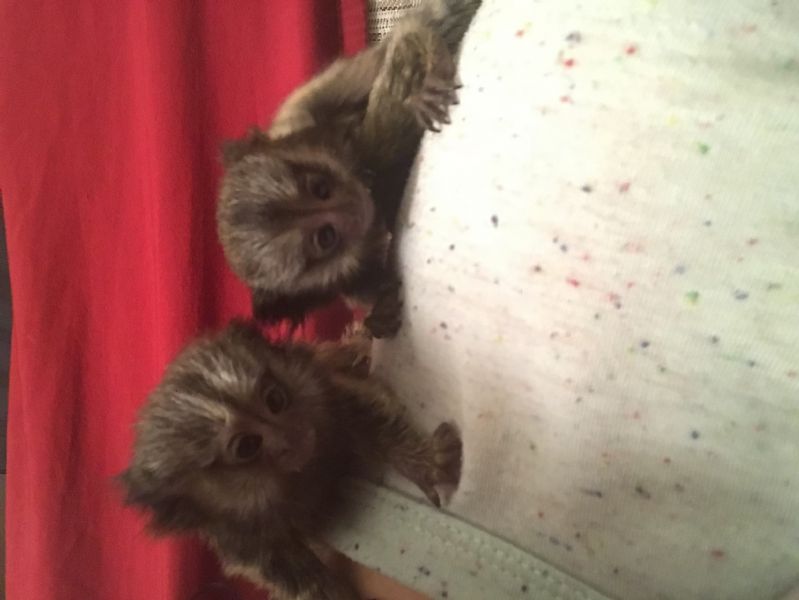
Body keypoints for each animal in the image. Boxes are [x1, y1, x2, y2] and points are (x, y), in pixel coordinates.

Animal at [118, 321, 462, 600]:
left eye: (275, 400)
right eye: (246, 446)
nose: (290, 435)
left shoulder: (324, 397)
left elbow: (363, 414)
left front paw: (422, 462)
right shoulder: (232, 531)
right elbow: (276, 566)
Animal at [217, 0, 482, 338]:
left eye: (320, 188)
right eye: (325, 237)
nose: (352, 206)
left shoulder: (300, 111)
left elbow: (410, 33)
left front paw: (424, 82)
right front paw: (377, 310)